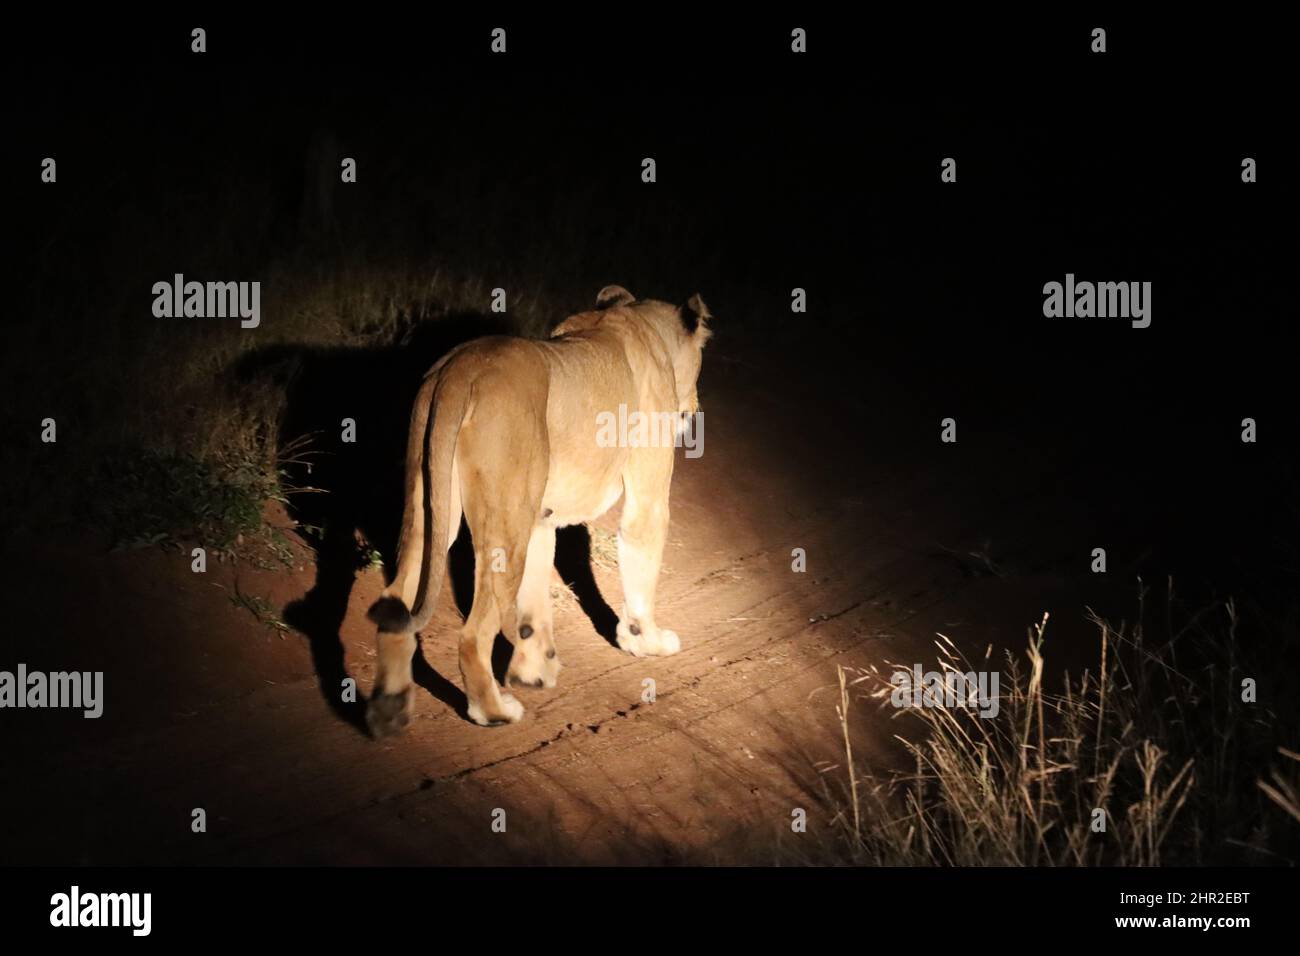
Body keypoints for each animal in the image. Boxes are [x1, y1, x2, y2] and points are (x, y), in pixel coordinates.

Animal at [365, 286, 711, 734]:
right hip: (504, 528)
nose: (695, 408)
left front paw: (533, 671)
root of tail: (459, 371)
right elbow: (642, 566)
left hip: (431, 508)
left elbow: (534, 606)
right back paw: (494, 712)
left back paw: (388, 711)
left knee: (396, 603)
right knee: (473, 636)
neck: (638, 322)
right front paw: (645, 640)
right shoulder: (646, 495)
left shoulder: (542, 515)